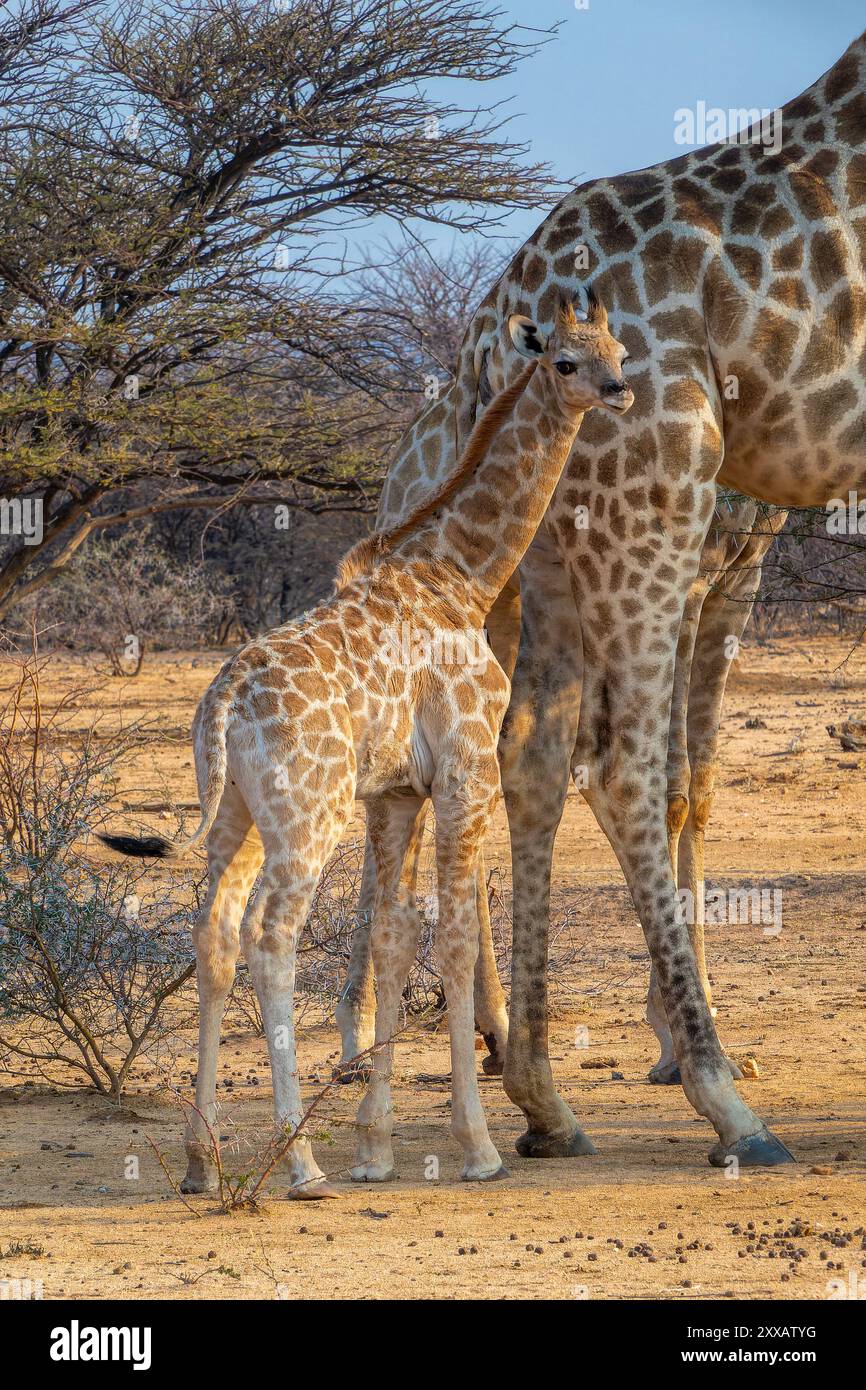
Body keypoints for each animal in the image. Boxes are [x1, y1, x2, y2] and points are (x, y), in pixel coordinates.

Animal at [101, 294, 633, 1195]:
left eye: (619, 347)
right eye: (565, 360)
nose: (620, 390)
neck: (462, 575)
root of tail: (225, 700)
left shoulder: (393, 790)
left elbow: (391, 938)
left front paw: (376, 1147)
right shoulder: (465, 767)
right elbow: (452, 937)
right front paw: (476, 1148)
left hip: (240, 811)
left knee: (214, 935)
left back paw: (203, 1162)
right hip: (309, 816)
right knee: (271, 940)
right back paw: (297, 1160)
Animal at [344, 31, 866, 1167]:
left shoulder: (728, 571)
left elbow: (690, 784)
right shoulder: (712, 560)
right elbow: (668, 780)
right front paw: (678, 1042)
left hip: (554, 559)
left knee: (517, 760)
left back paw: (536, 1091)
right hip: (636, 504)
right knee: (575, 770)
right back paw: (715, 1105)